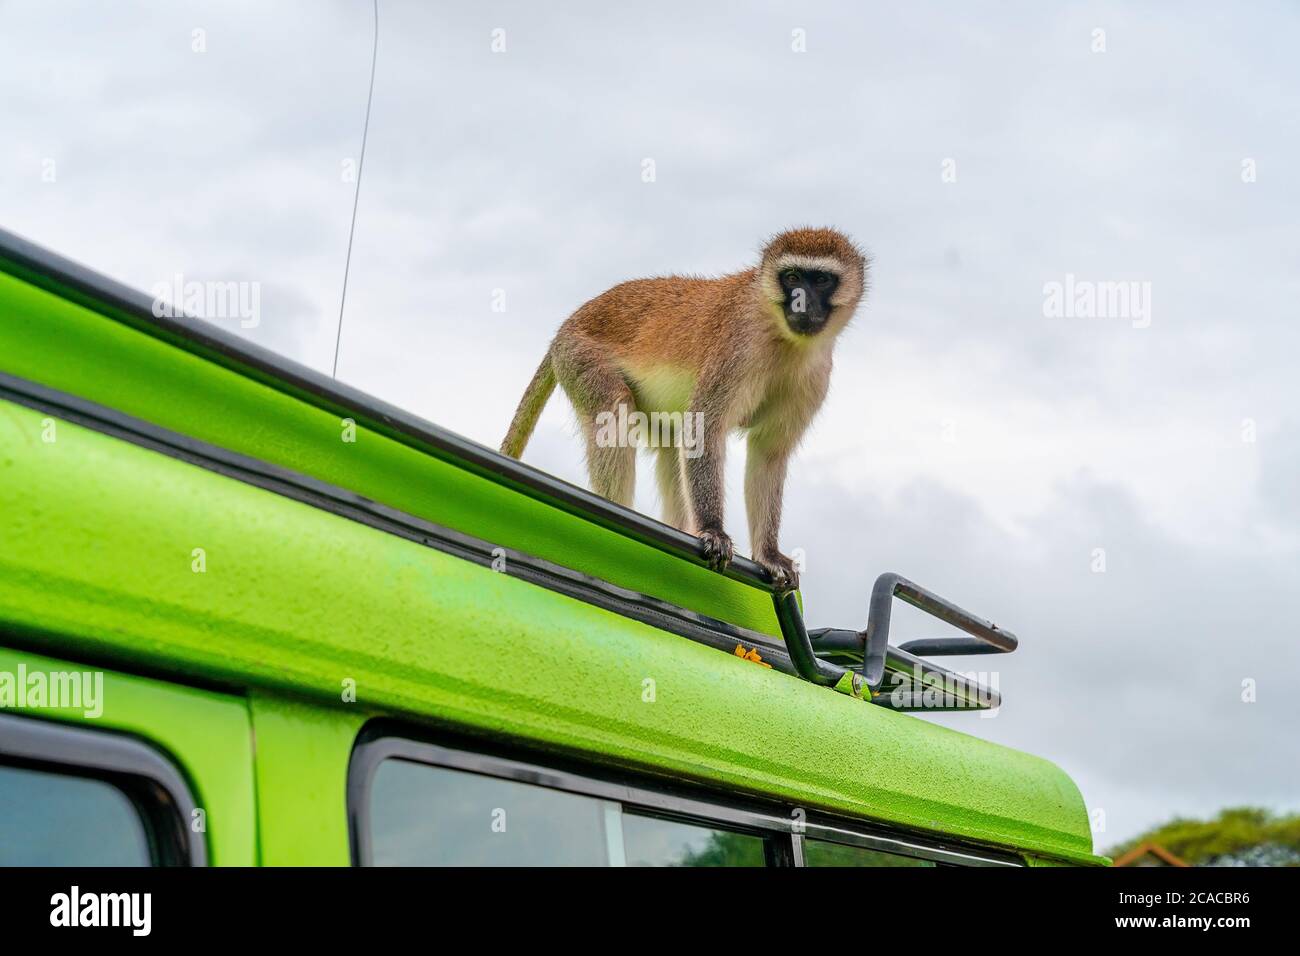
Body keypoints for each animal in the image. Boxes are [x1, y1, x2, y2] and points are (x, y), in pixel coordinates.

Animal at [501, 227, 868, 591]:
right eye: (791, 277)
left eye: (820, 280)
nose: (800, 301)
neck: (783, 337)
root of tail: (568, 324)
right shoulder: (738, 348)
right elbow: (705, 427)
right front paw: (713, 530)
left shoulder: (815, 376)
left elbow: (768, 453)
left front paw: (768, 554)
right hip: (578, 356)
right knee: (613, 408)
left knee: (669, 444)